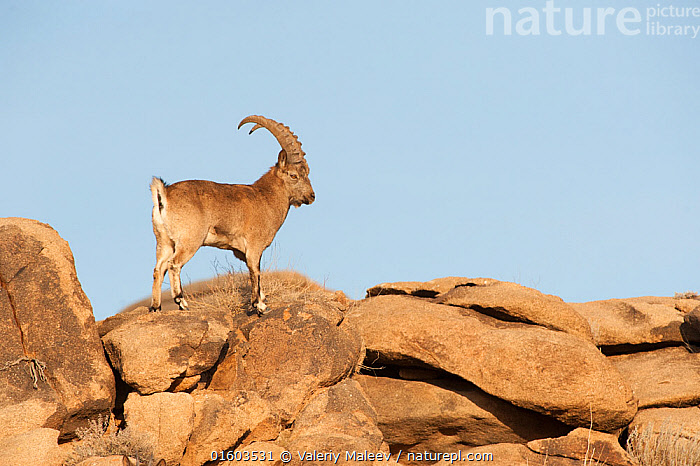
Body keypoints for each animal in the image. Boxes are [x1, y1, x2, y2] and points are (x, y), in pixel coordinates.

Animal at [149, 115, 315, 316]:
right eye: (293, 175)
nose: (311, 196)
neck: (266, 197)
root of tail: (164, 195)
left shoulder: (240, 251)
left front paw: (262, 300)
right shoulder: (254, 246)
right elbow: (255, 272)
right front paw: (259, 305)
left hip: (164, 241)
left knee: (158, 269)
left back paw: (156, 307)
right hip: (190, 240)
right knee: (173, 264)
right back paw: (182, 302)